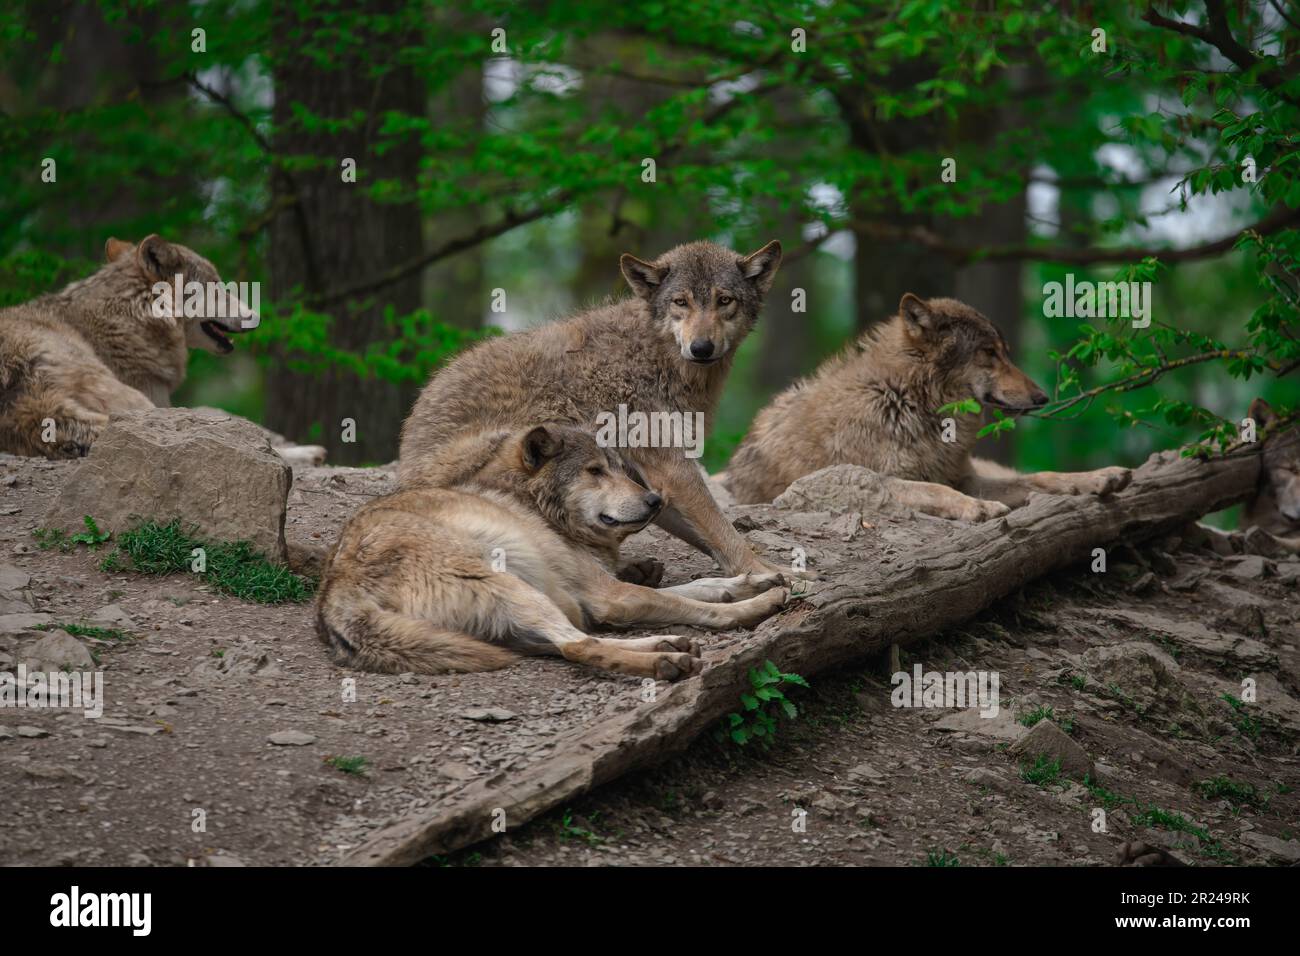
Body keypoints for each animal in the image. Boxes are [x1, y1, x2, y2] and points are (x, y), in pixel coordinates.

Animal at [317, 423, 789, 680]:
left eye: (623, 470)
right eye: (595, 471)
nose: (656, 501)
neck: (539, 508)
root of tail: (334, 594)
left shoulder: (603, 589)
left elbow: (702, 586)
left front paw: (755, 580)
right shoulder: (612, 596)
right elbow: (692, 603)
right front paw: (756, 603)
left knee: (572, 642)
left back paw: (669, 645)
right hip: (511, 584)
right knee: (579, 646)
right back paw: (668, 661)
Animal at [399, 240, 787, 576]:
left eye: (724, 300)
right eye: (681, 302)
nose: (701, 347)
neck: (656, 355)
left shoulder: (648, 480)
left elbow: (708, 535)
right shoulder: (671, 467)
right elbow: (722, 529)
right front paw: (767, 573)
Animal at [724, 293, 1131, 519]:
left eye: (1005, 352)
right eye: (989, 352)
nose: (1043, 397)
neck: (908, 400)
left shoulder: (963, 476)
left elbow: (1039, 477)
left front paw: (1100, 476)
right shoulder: (872, 480)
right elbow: (935, 491)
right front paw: (979, 508)